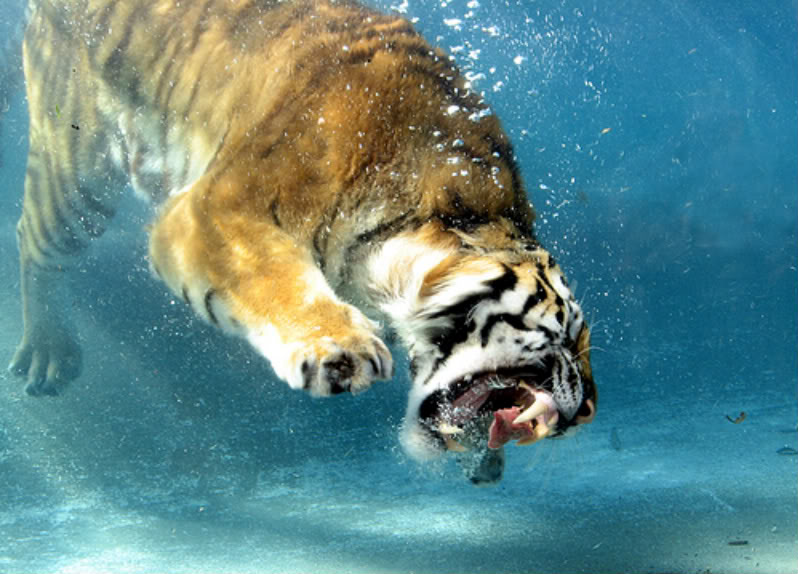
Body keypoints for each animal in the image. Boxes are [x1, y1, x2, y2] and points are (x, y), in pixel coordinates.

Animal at [8, 0, 597, 484]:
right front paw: (338, 347)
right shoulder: (215, 209)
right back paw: (46, 352)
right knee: (31, 242)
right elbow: (269, 275)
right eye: (568, 333)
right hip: (75, 179)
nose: (588, 411)